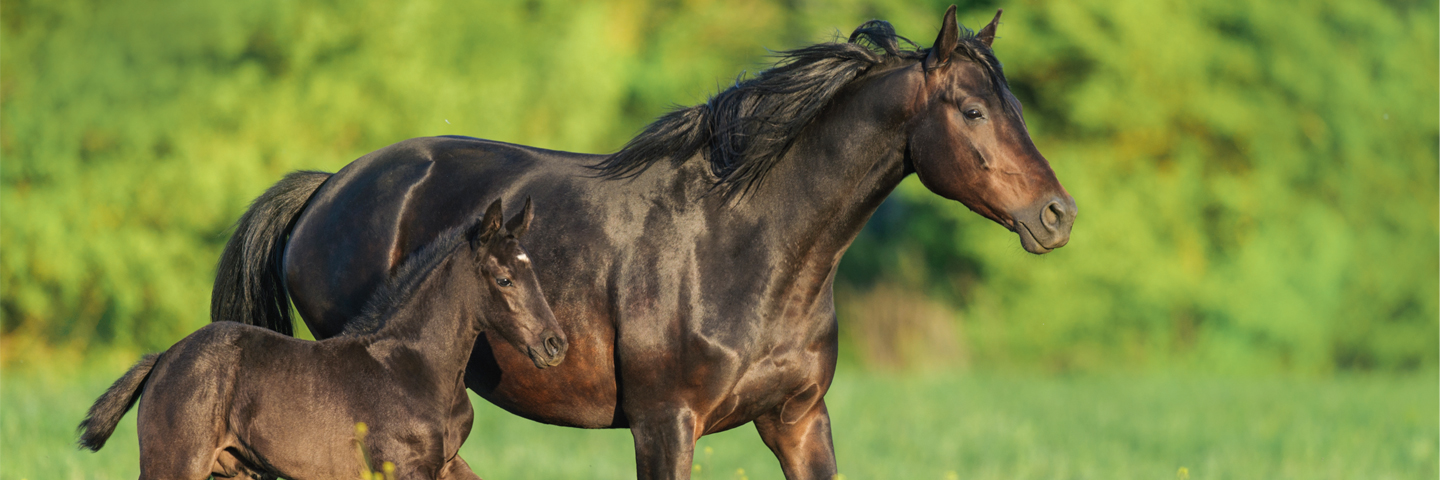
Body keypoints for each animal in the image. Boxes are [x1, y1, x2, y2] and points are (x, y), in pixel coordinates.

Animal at [80, 198, 565, 480]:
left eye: (533, 272)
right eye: (504, 279)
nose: (555, 344)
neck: (414, 367)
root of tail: (164, 357)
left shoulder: (446, 464)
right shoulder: (404, 468)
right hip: (175, 464)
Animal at [211, 6, 1075, 479]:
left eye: (1015, 105)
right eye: (972, 110)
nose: (1057, 215)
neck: (747, 248)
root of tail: (328, 187)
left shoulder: (798, 416)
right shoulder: (667, 423)